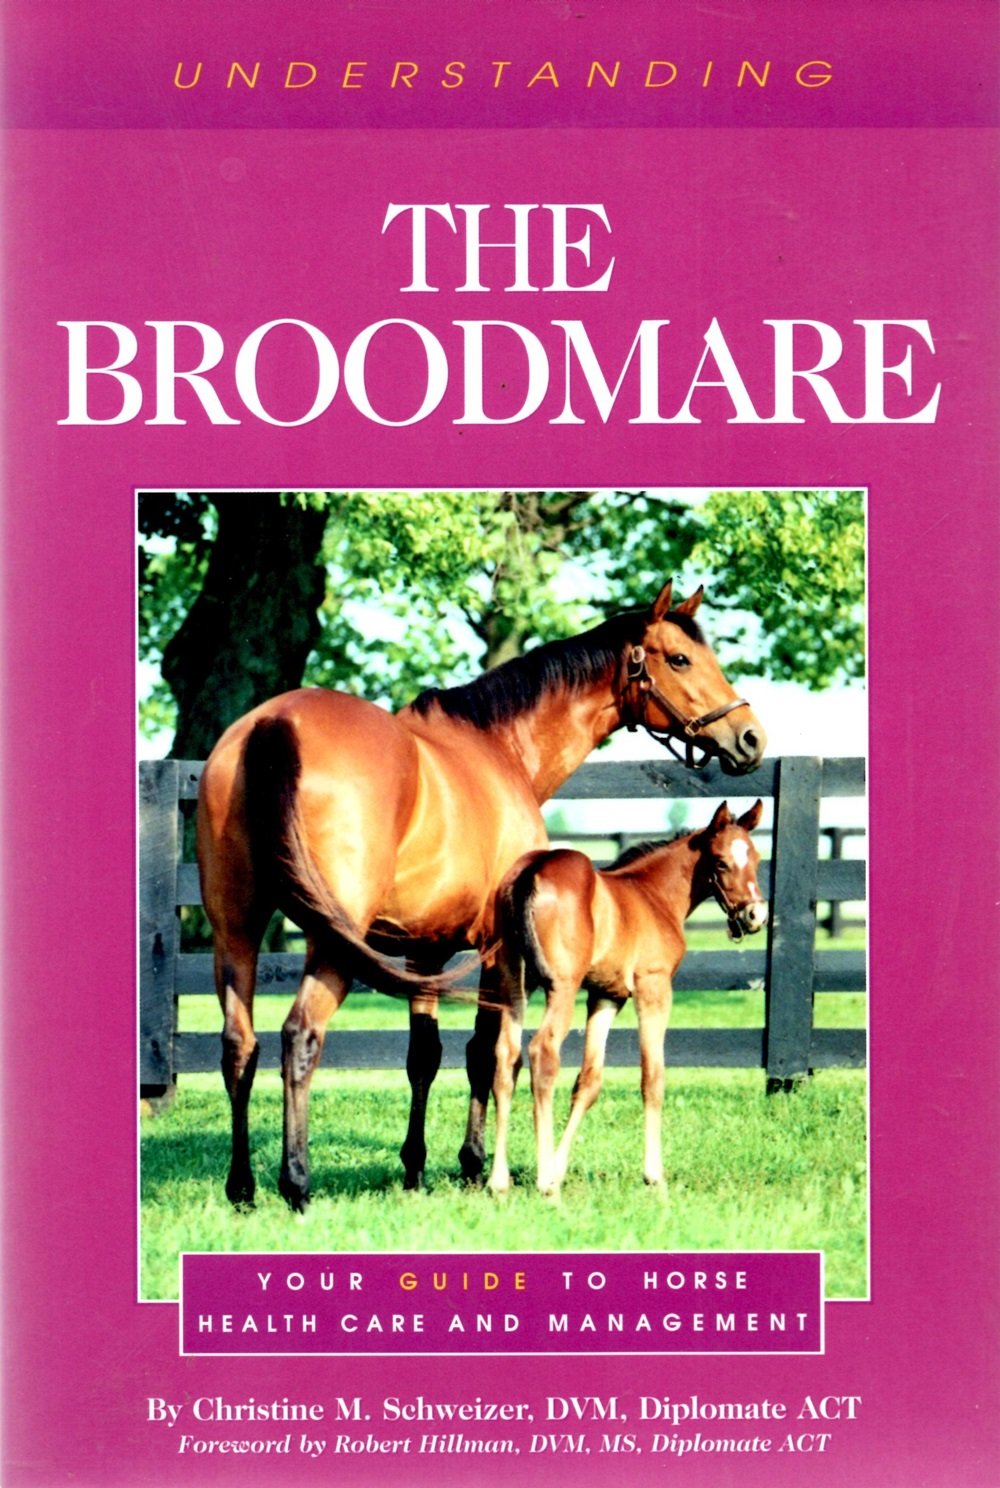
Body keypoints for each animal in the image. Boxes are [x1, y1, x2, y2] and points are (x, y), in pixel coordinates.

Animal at [487, 800, 767, 1198]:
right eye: (721, 862)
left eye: (756, 858)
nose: (755, 915)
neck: (653, 895)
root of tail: (533, 869)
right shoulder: (653, 988)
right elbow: (653, 1078)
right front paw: (654, 1174)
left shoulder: (606, 996)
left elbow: (589, 1082)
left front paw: (558, 1168)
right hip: (561, 987)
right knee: (542, 1053)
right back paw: (543, 1184)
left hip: (514, 984)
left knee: (505, 1057)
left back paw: (499, 1180)